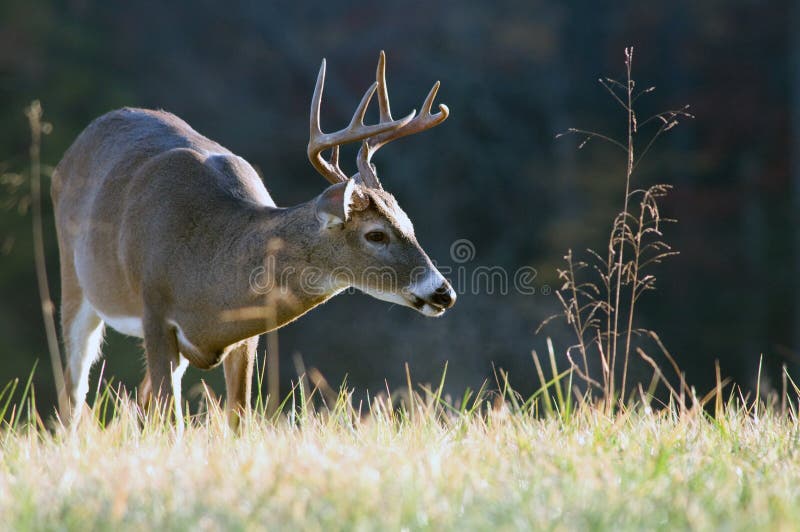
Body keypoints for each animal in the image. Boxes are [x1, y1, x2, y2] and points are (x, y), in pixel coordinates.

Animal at [51, 51, 456, 429]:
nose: (444, 292)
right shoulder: (154, 313)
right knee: (73, 392)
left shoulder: (245, 337)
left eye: (409, 224)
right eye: (375, 234)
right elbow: (171, 419)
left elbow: (238, 418)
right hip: (75, 282)